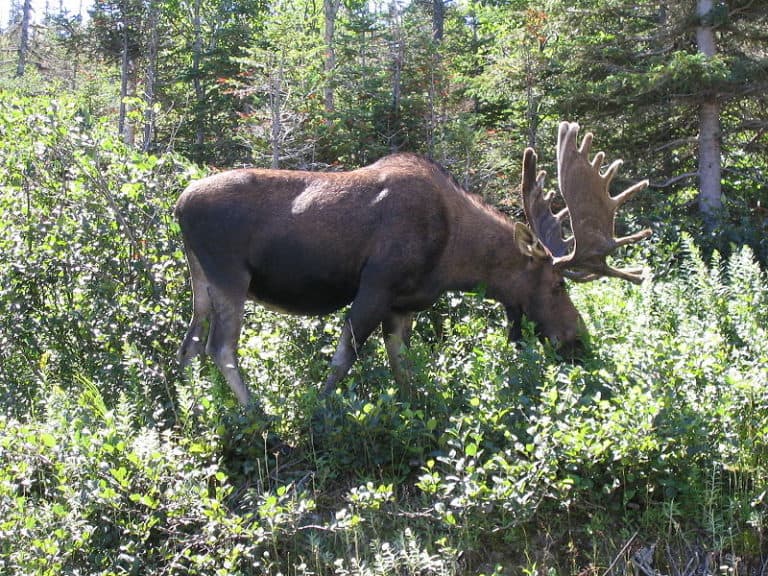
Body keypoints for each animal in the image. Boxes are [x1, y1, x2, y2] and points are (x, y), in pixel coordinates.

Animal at [175, 122, 651, 406]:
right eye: (557, 285)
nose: (579, 340)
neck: (455, 259)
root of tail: (178, 205)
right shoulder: (376, 286)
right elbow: (343, 359)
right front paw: (320, 410)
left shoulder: (403, 305)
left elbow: (402, 367)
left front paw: (414, 407)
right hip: (230, 273)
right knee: (221, 347)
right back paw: (257, 412)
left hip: (200, 276)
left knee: (191, 342)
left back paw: (187, 405)